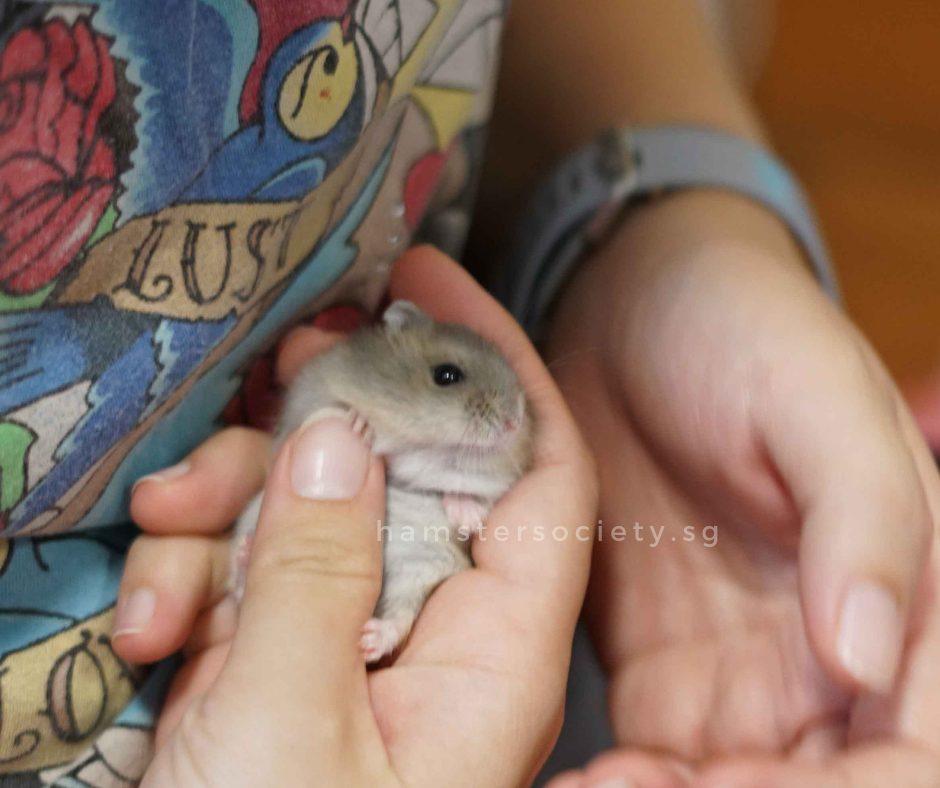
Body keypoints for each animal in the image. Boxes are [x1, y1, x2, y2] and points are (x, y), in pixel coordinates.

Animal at [230, 300, 534, 663]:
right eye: (446, 375)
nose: (515, 421)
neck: (419, 448)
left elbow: (470, 496)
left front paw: (468, 517)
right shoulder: (308, 403)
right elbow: (330, 409)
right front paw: (357, 424)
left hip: (420, 572)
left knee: (399, 619)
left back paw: (369, 642)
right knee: (240, 592)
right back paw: (247, 550)